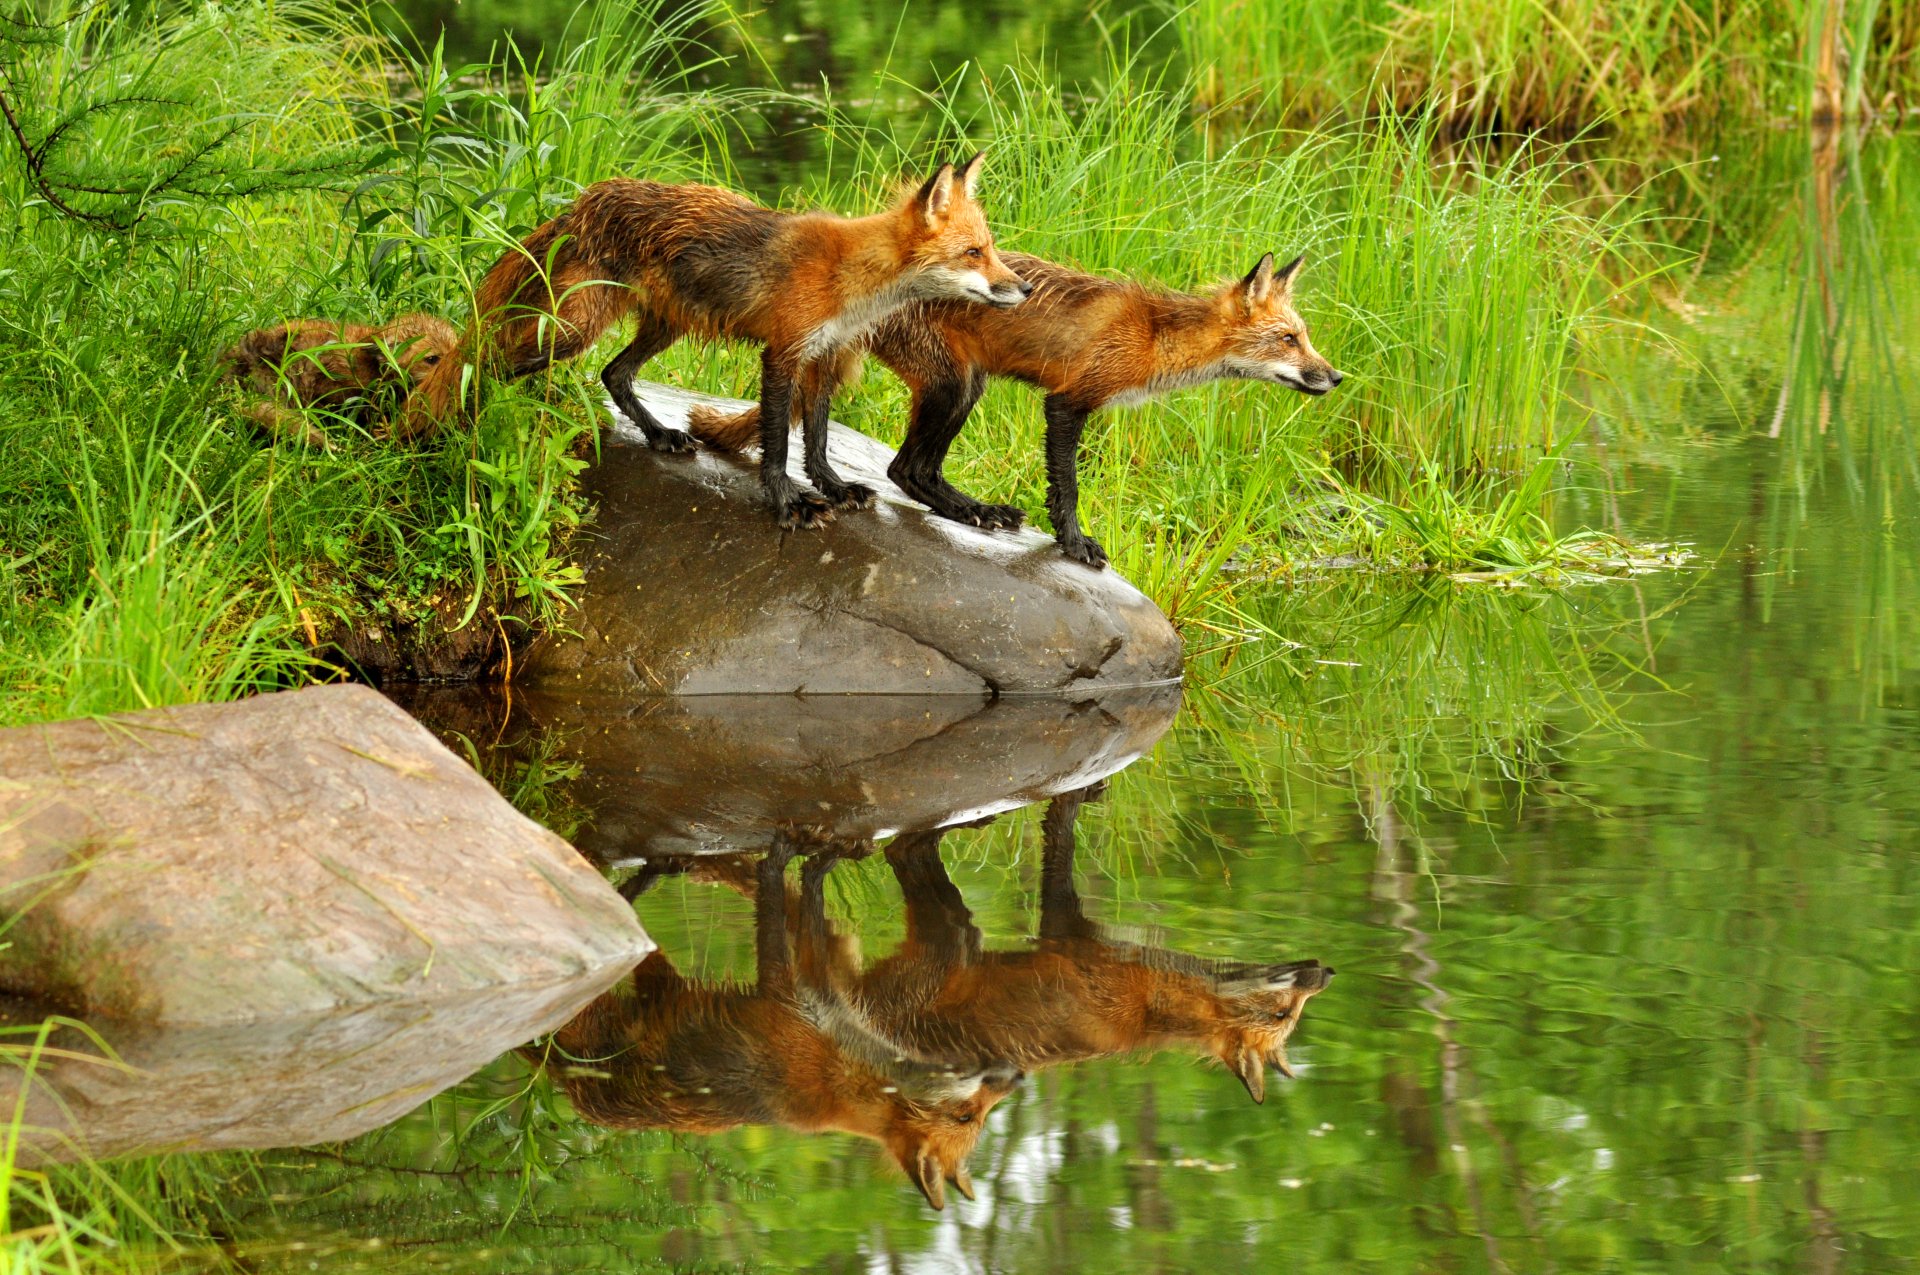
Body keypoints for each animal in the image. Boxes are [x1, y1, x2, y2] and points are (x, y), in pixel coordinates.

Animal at [403, 154, 1030, 529]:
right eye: (974, 253)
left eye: (992, 249)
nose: (1023, 289)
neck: (852, 281)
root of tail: (585, 200)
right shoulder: (783, 352)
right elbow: (778, 444)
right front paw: (787, 500)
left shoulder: (822, 356)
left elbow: (818, 439)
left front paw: (831, 487)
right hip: (572, 330)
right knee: (483, 363)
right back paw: (453, 429)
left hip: (663, 325)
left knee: (613, 374)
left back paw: (659, 434)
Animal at [536, 838, 1022, 1211]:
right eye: (966, 1115)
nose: (1017, 1076)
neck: (843, 1066)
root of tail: (567, 1084)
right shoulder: (787, 993)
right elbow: (788, 904)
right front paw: (799, 856)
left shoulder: (810, 991)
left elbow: (799, 911)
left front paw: (803, 861)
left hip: (658, 989)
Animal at [688, 249, 1342, 566]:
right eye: (1289, 340)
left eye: (1305, 337)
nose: (1335, 376)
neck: (1155, 337)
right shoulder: (1069, 401)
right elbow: (1068, 487)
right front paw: (1074, 545)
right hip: (955, 384)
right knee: (906, 468)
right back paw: (973, 511)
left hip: (954, 385)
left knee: (859, 445)